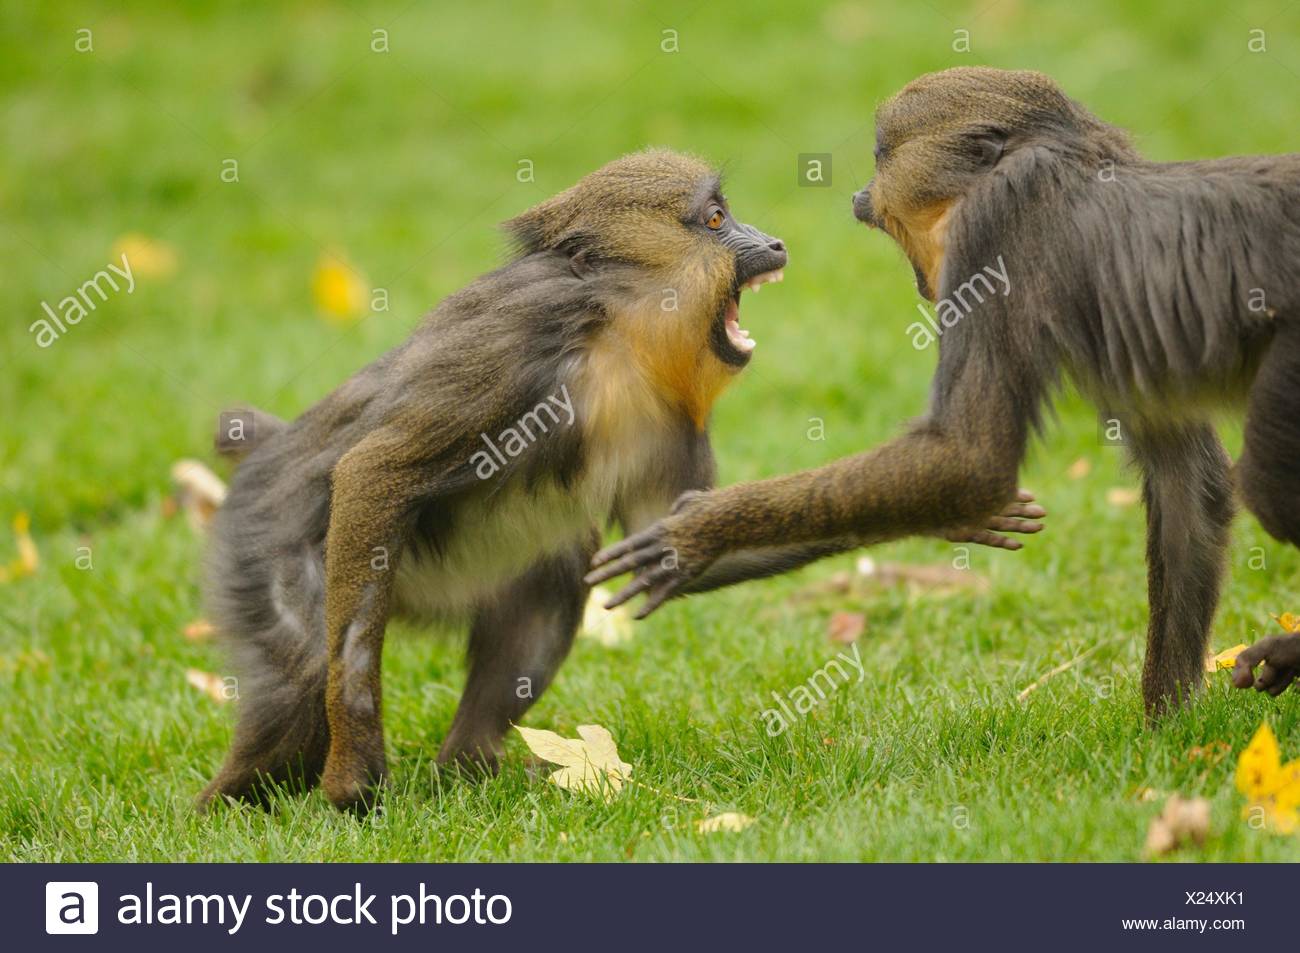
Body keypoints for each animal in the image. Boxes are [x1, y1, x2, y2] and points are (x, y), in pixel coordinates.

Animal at [587, 68, 1300, 719]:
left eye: (882, 155)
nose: (859, 195)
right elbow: (1191, 485)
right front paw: (1167, 734)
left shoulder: (991, 234)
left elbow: (969, 457)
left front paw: (699, 530)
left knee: (1268, 485)